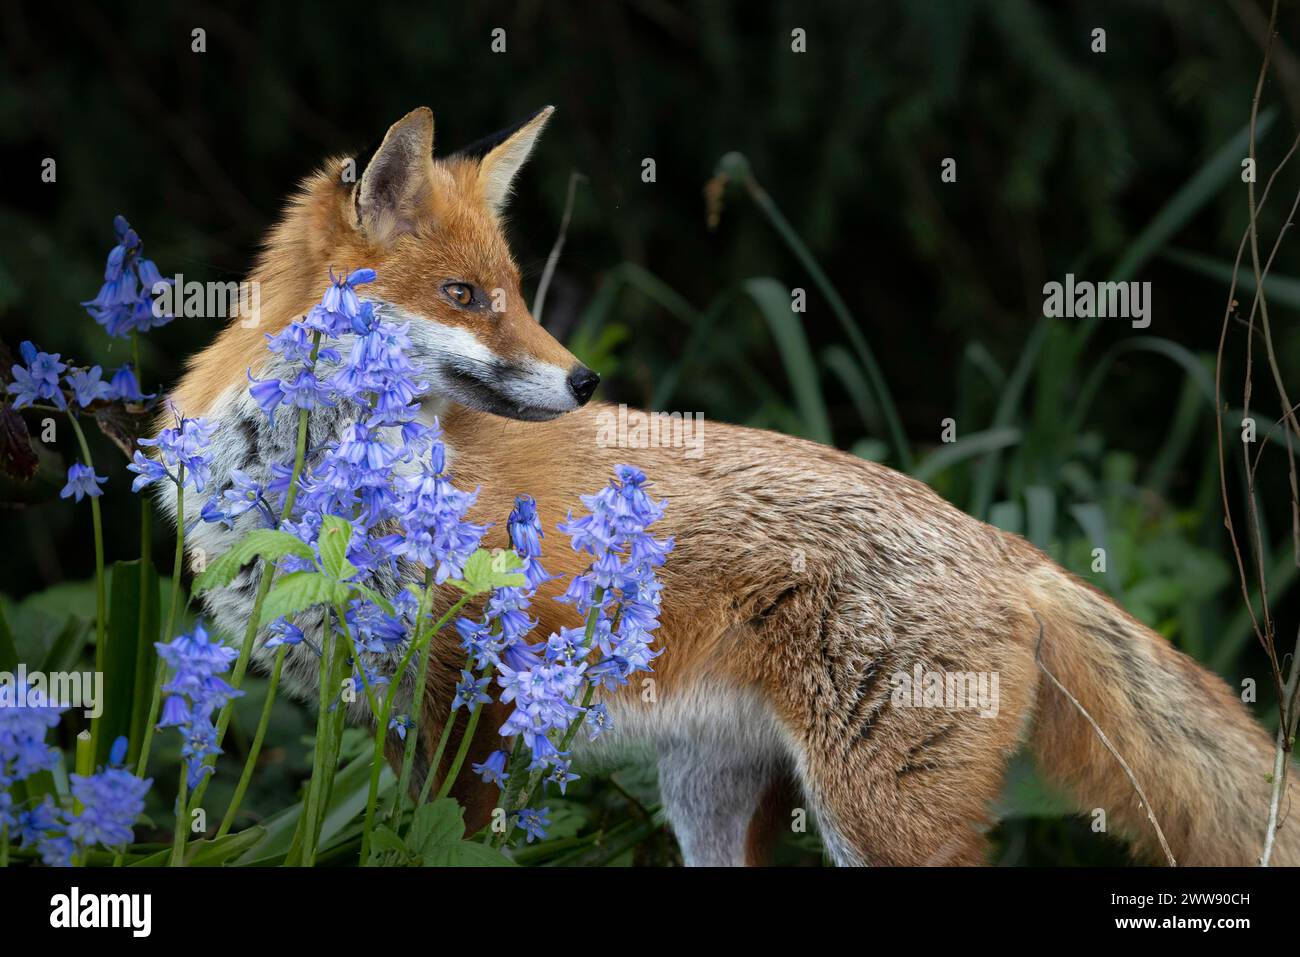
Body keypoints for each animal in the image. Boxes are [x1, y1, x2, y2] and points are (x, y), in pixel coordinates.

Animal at [163, 104, 1299, 867]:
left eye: (515, 293)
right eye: (463, 295)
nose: (586, 380)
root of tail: (1007, 547)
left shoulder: (468, 699)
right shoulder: (380, 709)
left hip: (873, 818)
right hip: (712, 797)